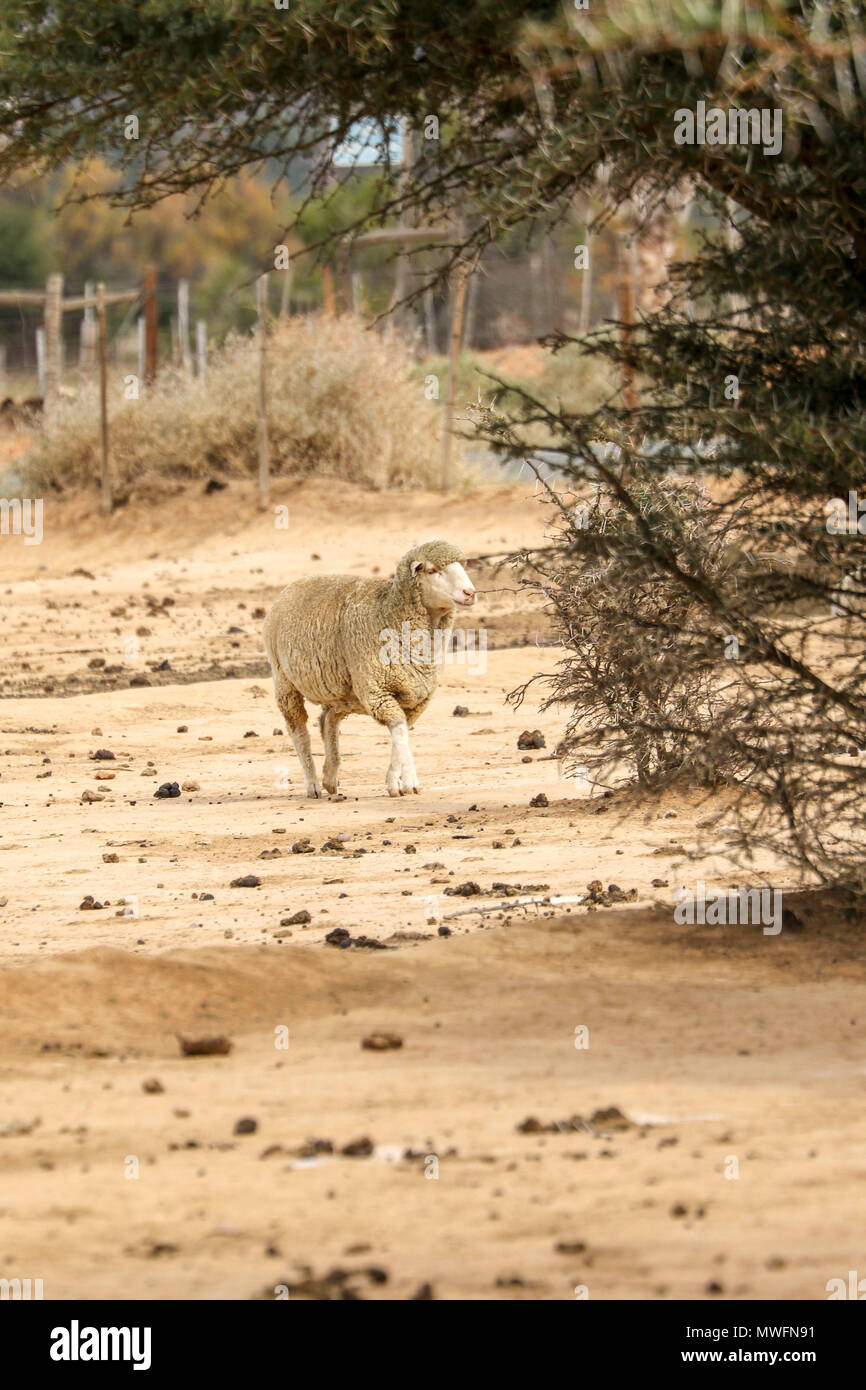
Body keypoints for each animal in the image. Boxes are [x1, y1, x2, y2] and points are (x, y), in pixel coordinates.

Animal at [263, 539, 477, 798]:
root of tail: (292, 585)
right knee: (299, 730)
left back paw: (330, 777)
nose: (470, 593)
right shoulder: (377, 691)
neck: (387, 612)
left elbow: (400, 733)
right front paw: (410, 781)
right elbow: (400, 732)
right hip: (285, 681)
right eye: (433, 570)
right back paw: (313, 783)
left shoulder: (414, 698)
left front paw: (394, 782)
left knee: (328, 721)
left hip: (344, 692)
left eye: (462, 566)